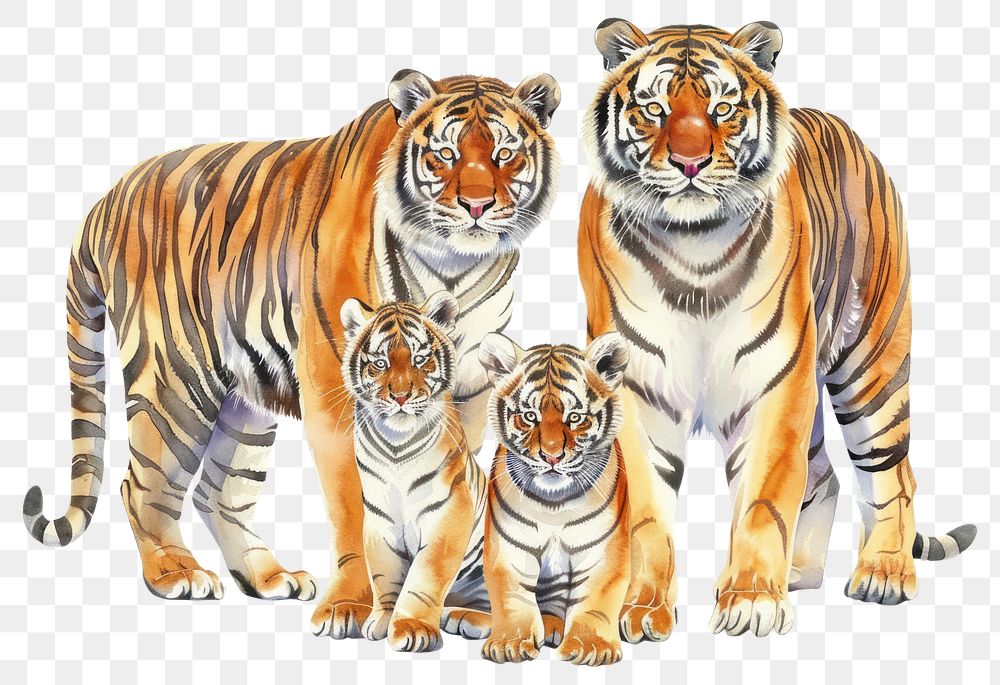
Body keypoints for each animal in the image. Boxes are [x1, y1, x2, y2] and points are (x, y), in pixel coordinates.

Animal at [339, 292, 490, 651]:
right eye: (380, 363)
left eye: (420, 359)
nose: (400, 396)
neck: (397, 445)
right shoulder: (380, 519)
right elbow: (385, 574)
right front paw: (382, 620)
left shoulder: (448, 514)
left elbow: (424, 579)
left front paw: (412, 629)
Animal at [477, 333, 632, 666]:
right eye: (529, 417)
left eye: (575, 417)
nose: (551, 457)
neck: (554, 505)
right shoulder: (508, 547)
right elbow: (511, 595)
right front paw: (509, 643)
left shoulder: (604, 549)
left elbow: (597, 595)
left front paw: (591, 646)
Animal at [577, 19, 977, 640]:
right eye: (654, 108)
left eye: (721, 108)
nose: (689, 164)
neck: (694, 247)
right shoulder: (636, 387)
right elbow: (644, 510)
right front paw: (641, 609)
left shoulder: (774, 382)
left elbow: (764, 498)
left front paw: (751, 601)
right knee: (827, 474)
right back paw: (800, 571)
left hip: (871, 368)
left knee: (894, 474)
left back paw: (884, 573)